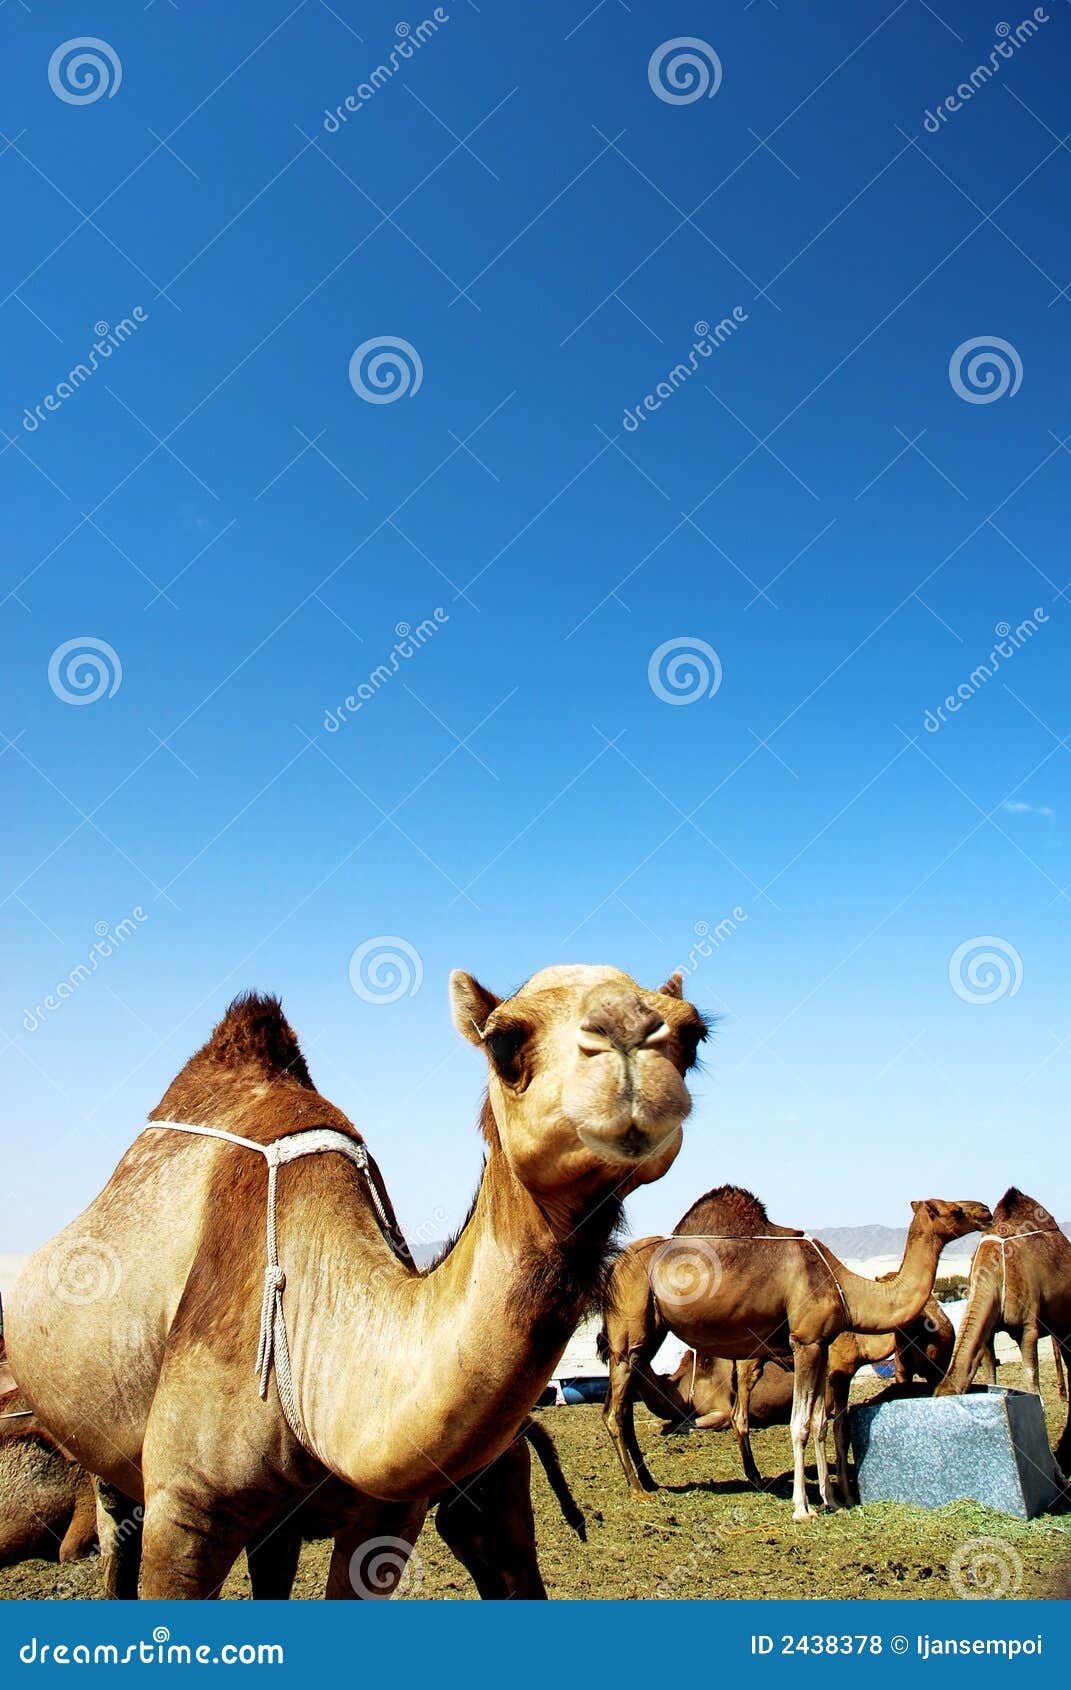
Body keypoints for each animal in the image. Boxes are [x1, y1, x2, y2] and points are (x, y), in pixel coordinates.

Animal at [8, 966, 705, 1598]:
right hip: (102, 1454)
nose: (629, 1035)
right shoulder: (188, 1510)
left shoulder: (387, 1515)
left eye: (694, 1036)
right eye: (504, 1043)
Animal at [601, 1185, 991, 1521]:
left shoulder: (823, 1348)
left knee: (625, 1406)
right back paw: (638, 1489)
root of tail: (613, 1268)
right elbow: (800, 1424)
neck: (845, 1287)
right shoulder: (806, 1341)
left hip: (651, 1335)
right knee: (614, 1411)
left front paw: (832, 1500)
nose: (985, 1210)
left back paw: (651, 1481)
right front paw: (803, 1508)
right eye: (952, 1210)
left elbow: (819, 1423)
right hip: (628, 1332)